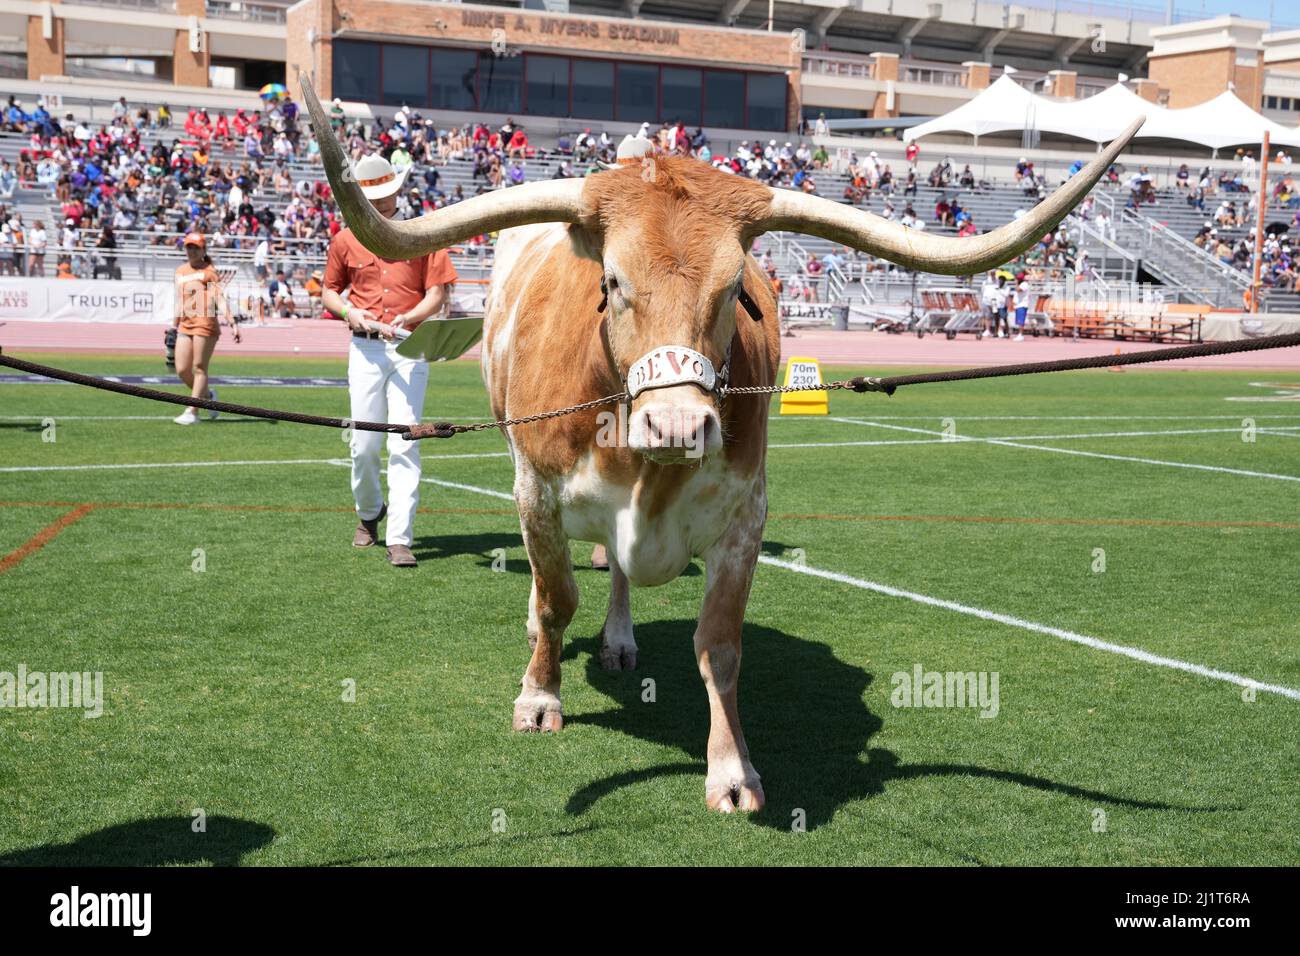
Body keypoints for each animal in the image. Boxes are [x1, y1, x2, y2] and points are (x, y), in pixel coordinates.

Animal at [303, 75, 1141, 812]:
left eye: (736, 287)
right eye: (612, 283)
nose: (677, 426)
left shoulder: (745, 518)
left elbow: (720, 644)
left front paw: (733, 773)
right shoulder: (535, 493)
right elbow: (555, 598)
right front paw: (540, 697)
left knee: (617, 573)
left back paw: (620, 640)